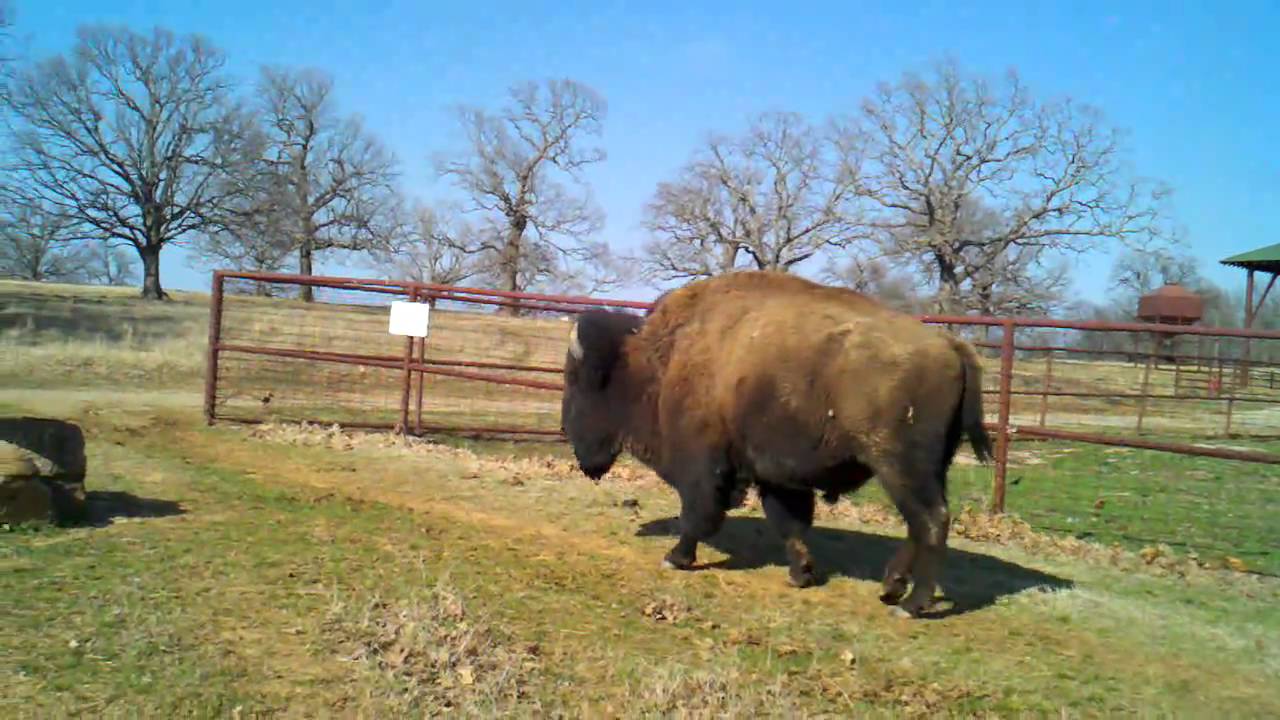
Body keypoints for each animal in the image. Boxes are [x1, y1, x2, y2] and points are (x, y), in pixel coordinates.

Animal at [559, 271, 994, 618]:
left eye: (578, 383)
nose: (568, 434)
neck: (660, 359)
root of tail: (951, 345)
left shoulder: (704, 467)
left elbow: (699, 515)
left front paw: (676, 558)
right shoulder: (776, 474)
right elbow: (789, 523)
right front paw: (802, 574)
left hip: (899, 465)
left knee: (931, 521)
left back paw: (911, 605)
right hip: (927, 468)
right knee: (920, 525)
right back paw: (891, 588)